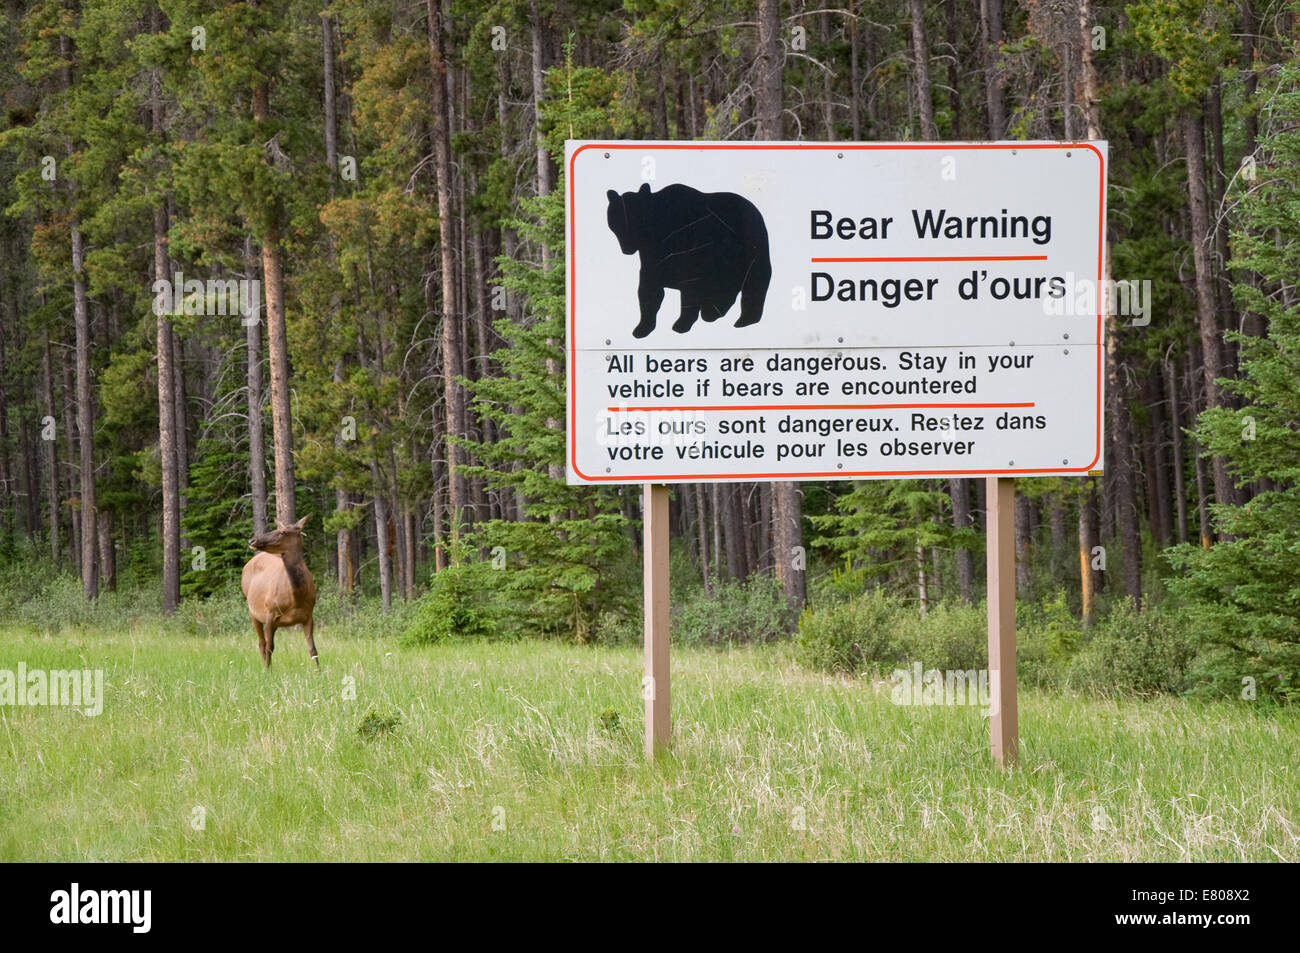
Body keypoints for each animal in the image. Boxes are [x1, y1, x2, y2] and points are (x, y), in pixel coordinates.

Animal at [605, 182, 772, 339]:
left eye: (637, 218)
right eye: (616, 221)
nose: (627, 247)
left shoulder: (692, 258)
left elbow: (689, 293)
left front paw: (681, 324)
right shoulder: (652, 261)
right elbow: (649, 292)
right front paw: (642, 328)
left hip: (750, 247)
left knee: (753, 281)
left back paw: (743, 320)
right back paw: (713, 311)